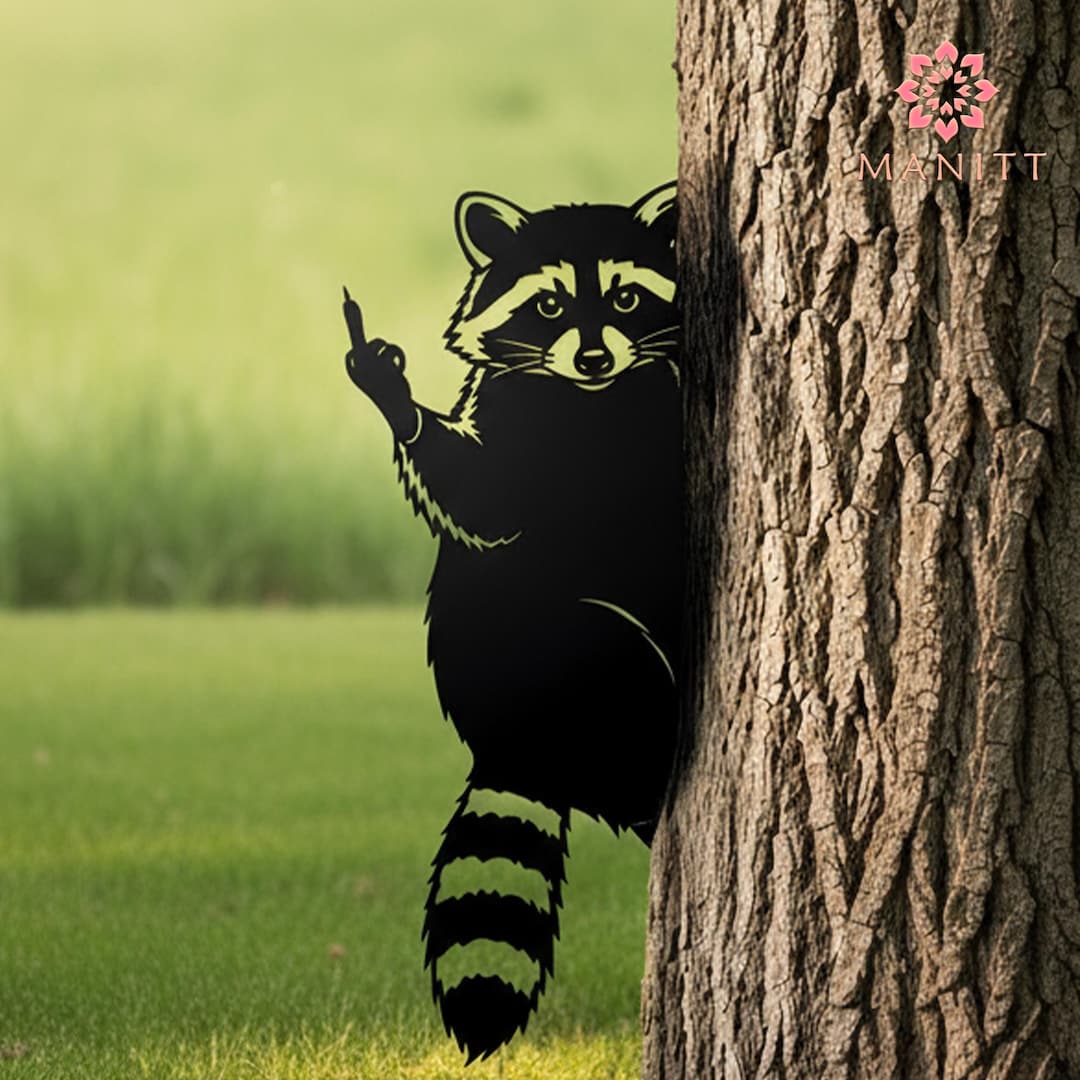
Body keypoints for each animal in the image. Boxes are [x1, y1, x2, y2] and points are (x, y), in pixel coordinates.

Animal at [343, 183, 682, 1060]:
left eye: (626, 298)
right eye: (551, 304)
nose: (594, 359)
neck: (592, 402)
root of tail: (512, 739)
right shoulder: (515, 425)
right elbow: (484, 500)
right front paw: (397, 401)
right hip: (558, 645)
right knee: (627, 675)